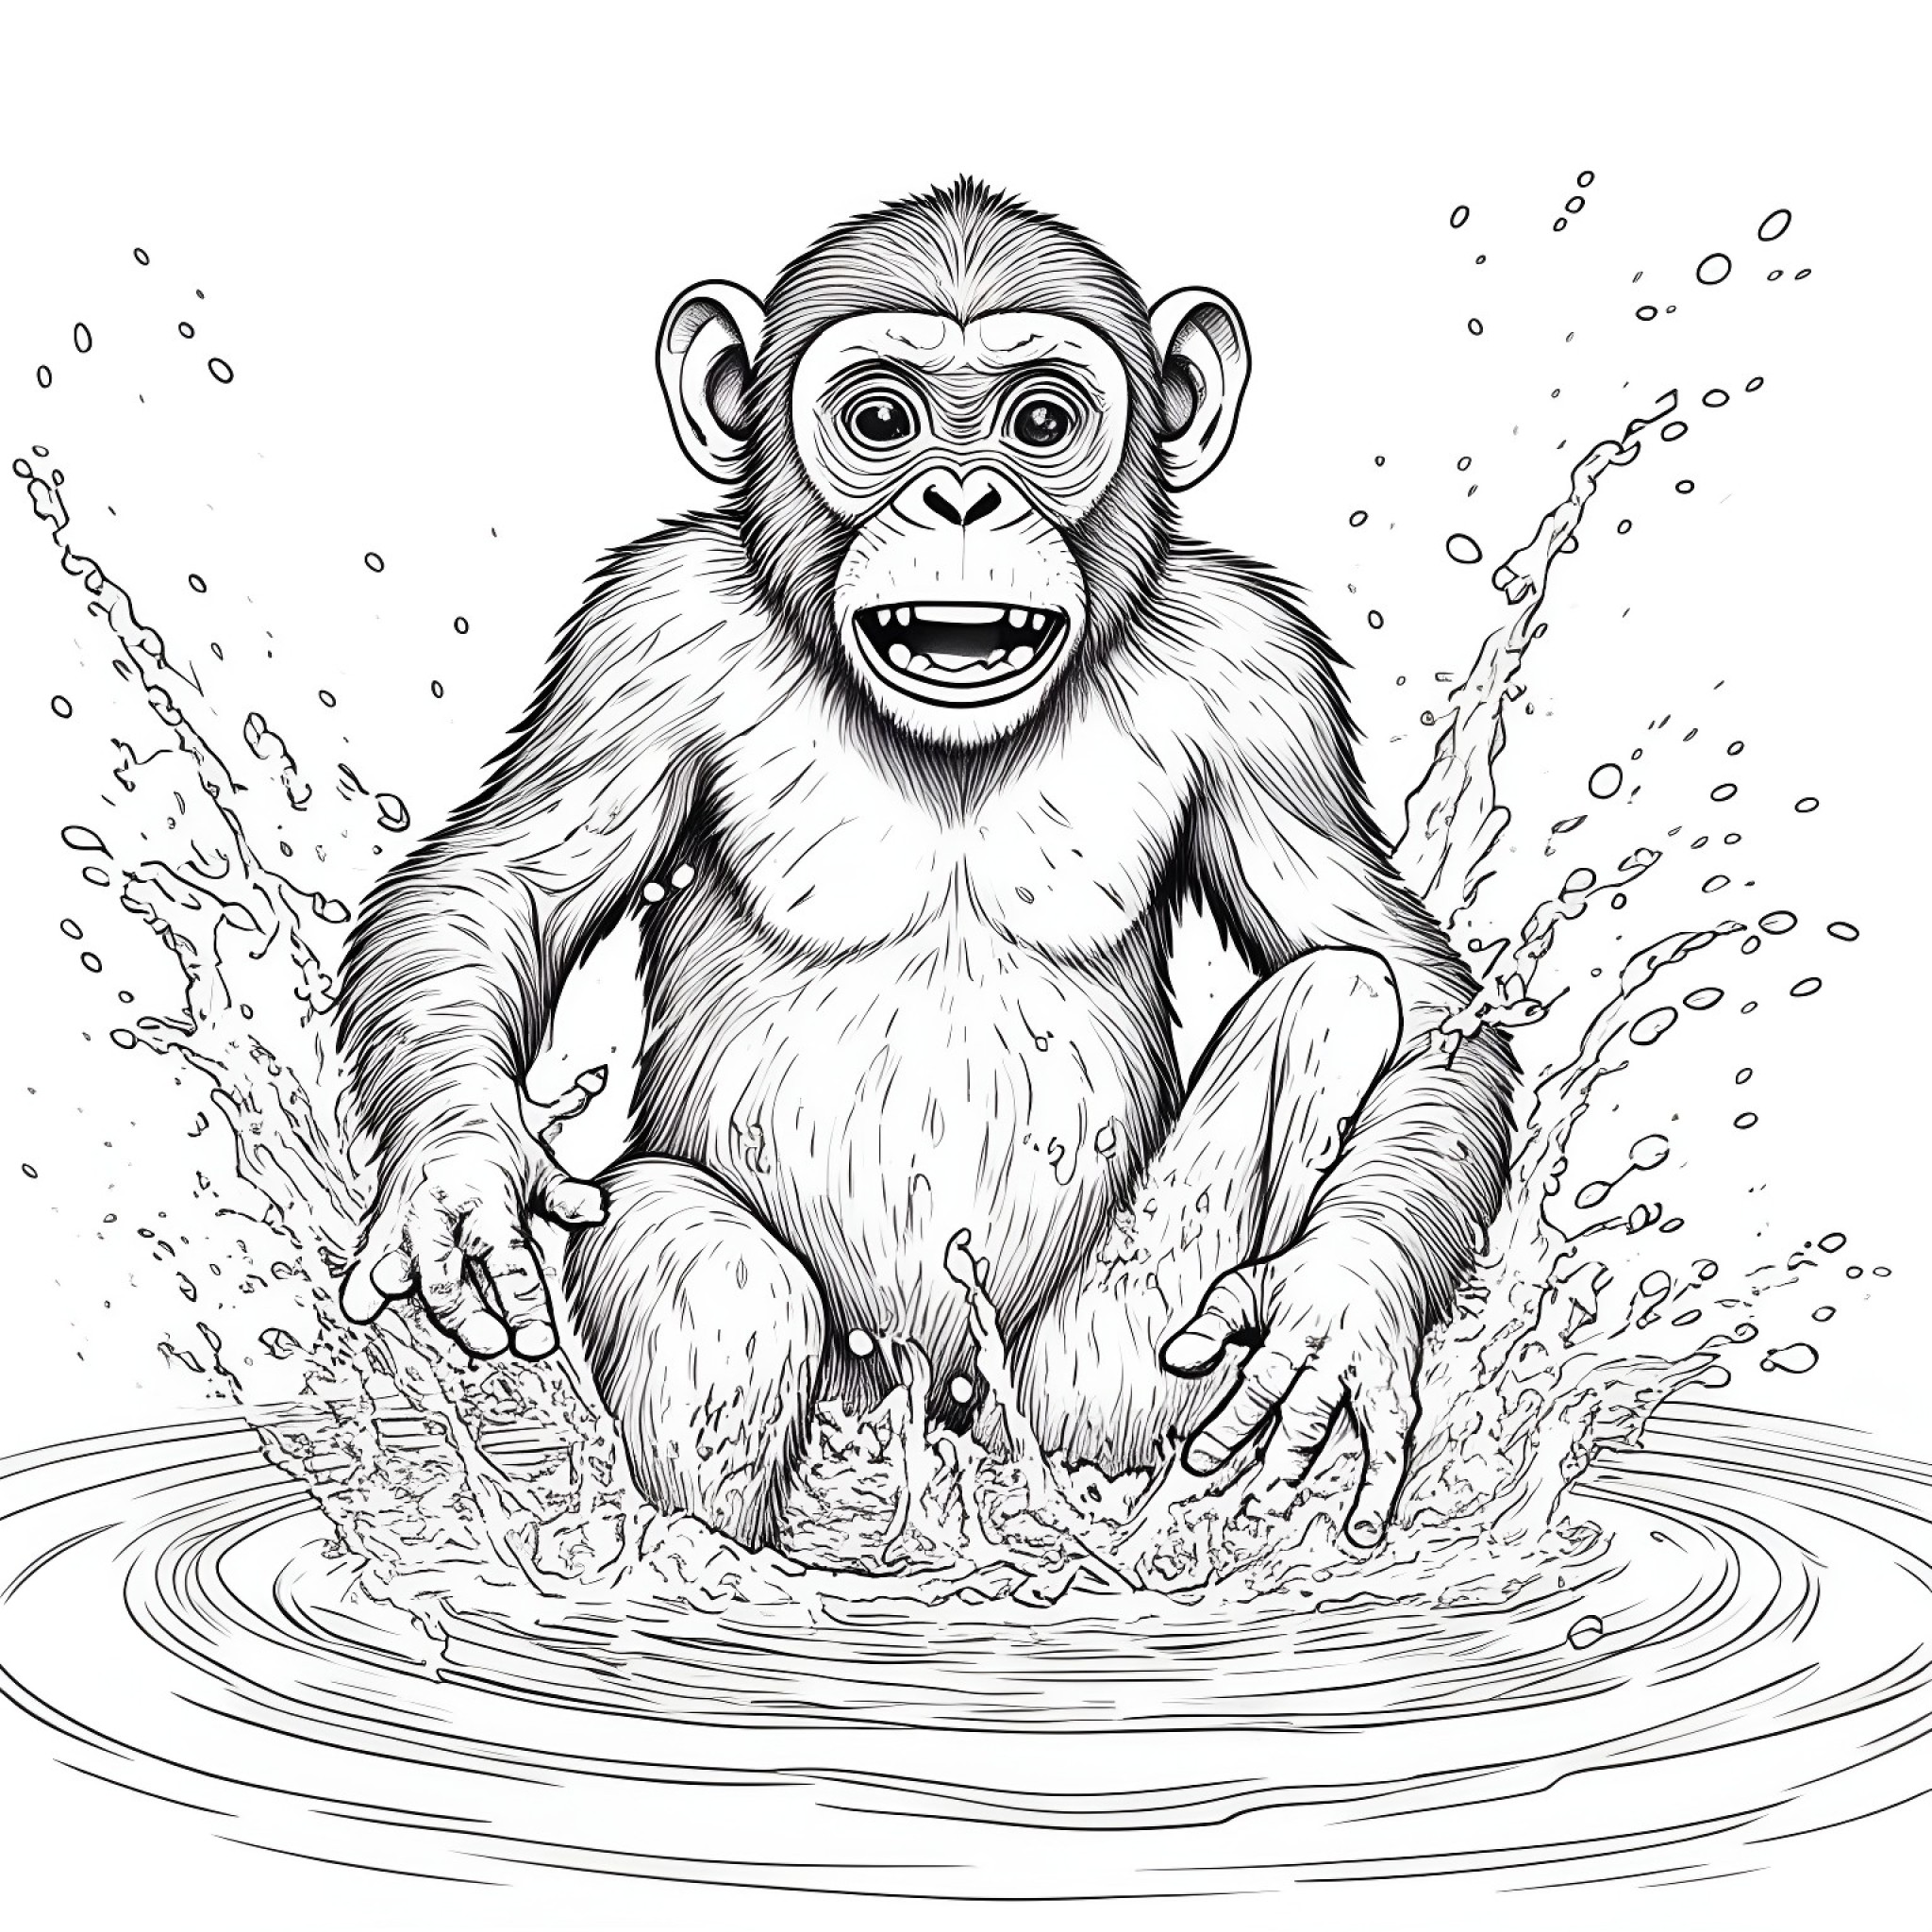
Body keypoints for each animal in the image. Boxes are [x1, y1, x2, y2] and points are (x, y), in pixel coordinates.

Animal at [336, 180, 1516, 1552]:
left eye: (1041, 420)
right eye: (881, 419)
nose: (960, 500)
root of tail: (952, 1420)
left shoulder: (1258, 668)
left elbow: (1409, 983)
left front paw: (1342, 1301)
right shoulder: (648, 630)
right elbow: (504, 882)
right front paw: (461, 1177)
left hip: (1089, 1381)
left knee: (1338, 993)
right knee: (726, 1287)